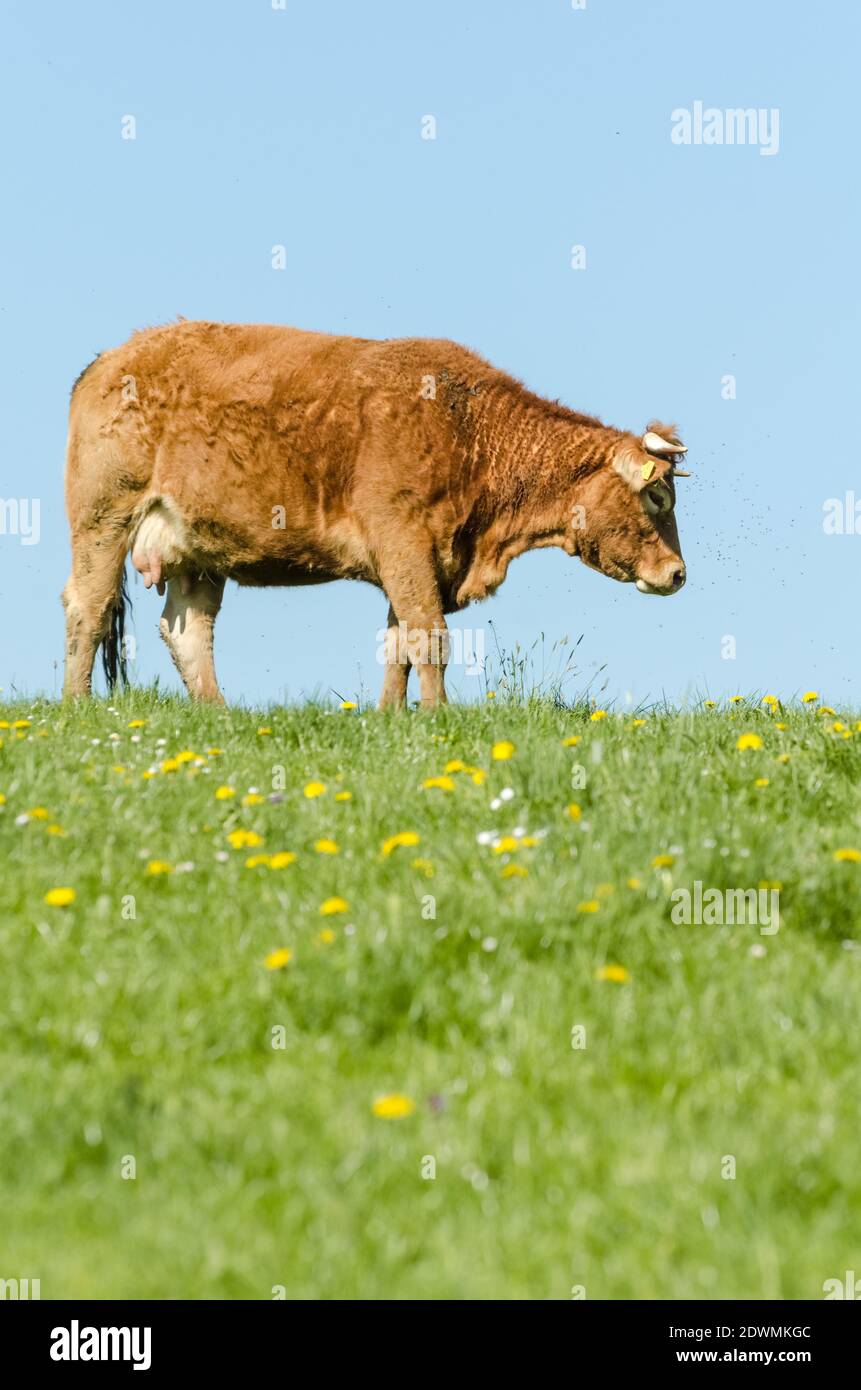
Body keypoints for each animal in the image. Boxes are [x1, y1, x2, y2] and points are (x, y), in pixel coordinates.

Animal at [62, 320, 689, 707]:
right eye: (657, 497)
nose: (678, 574)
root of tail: (111, 358)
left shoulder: (418, 559)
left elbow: (399, 643)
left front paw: (391, 717)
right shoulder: (403, 542)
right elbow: (429, 636)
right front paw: (437, 716)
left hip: (196, 548)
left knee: (187, 629)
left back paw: (217, 712)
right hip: (103, 518)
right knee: (87, 609)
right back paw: (76, 705)